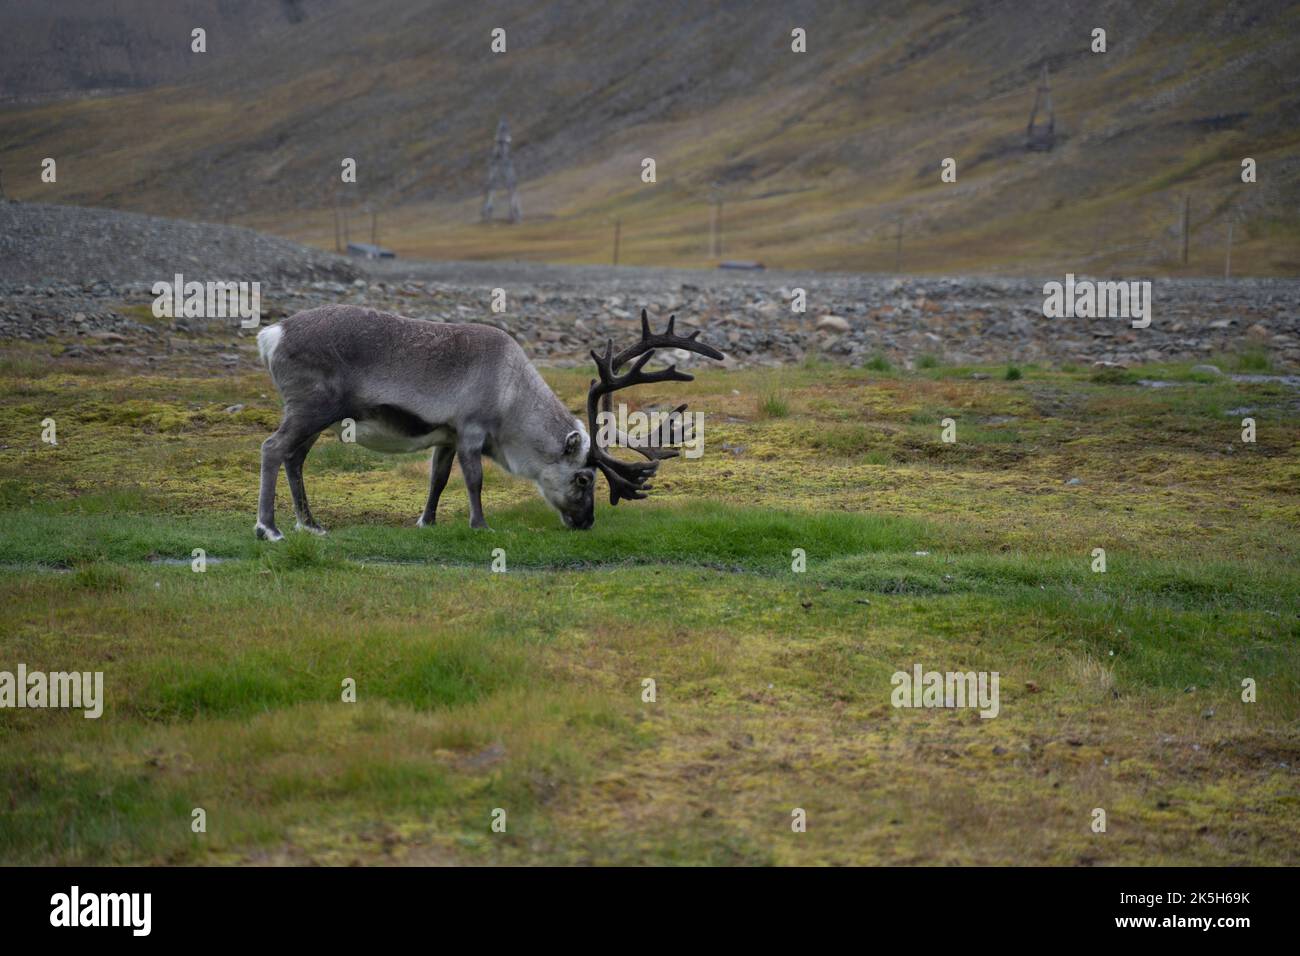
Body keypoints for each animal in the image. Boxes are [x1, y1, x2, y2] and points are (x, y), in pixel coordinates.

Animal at [253, 304, 723, 539]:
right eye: (584, 478)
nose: (587, 522)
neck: (511, 394)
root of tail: (271, 334)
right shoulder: (471, 430)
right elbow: (474, 480)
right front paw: (480, 525)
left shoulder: (445, 435)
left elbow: (438, 480)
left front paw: (426, 522)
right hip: (311, 408)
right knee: (273, 450)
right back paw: (269, 529)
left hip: (317, 417)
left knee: (294, 459)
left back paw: (311, 525)